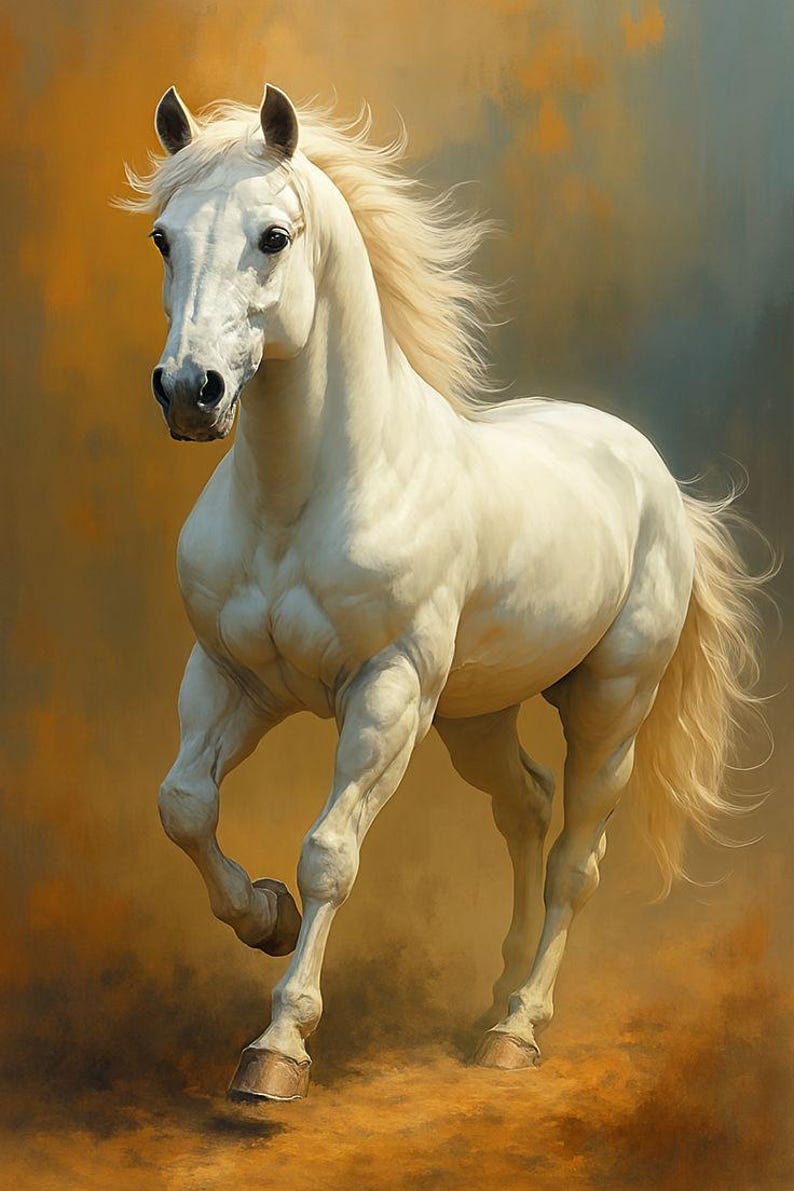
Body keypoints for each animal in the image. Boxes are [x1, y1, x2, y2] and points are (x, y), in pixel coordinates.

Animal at [122, 83, 765, 1103]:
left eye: (274, 236)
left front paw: (278, 1047)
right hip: (475, 714)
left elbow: (330, 853)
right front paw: (262, 913)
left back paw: (518, 1027)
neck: (303, 496)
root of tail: (656, 477)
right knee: (527, 806)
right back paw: (496, 990)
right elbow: (183, 804)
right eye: (162, 238)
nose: (192, 391)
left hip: (611, 704)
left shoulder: (387, 692)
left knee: (577, 858)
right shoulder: (232, 677)